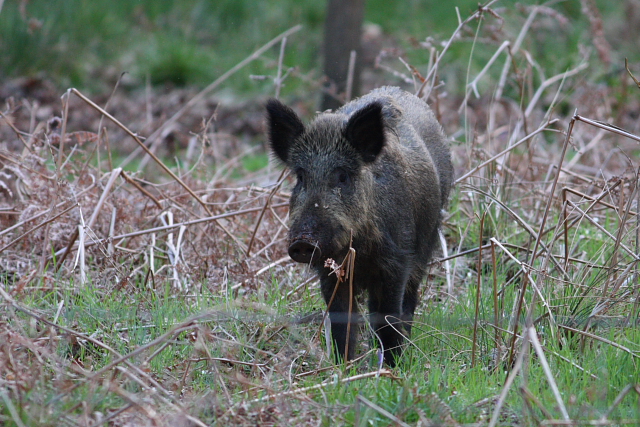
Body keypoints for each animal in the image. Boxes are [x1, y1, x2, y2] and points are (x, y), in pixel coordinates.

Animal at [266, 86, 452, 367]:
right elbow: (341, 323)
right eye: (300, 176)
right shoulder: (330, 272)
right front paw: (342, 367)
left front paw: (391, 367)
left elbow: (388, 318)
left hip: (427, 241)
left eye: (342, 176)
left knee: (408, 301)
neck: (360, 250)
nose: (303, 242)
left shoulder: (396, 262)